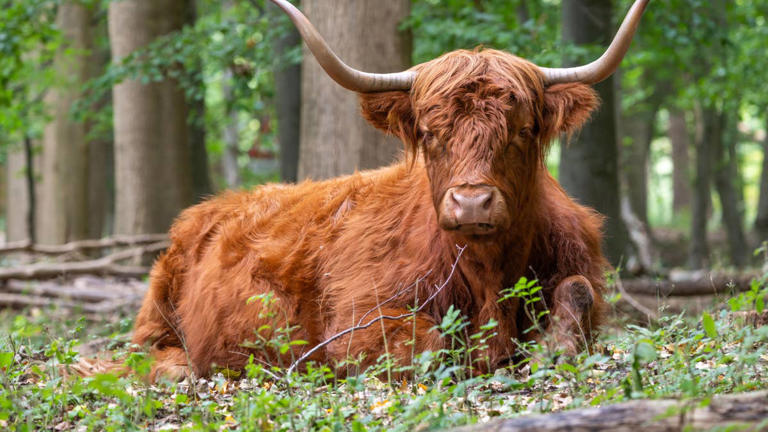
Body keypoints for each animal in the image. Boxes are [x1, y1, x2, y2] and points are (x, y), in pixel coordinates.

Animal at [127, 0, 649, 381]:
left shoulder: (578, 269)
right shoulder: (359, 317)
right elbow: (430, 344)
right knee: (145, 351)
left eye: (522, 130)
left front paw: (550, 349)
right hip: (159, 306)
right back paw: (178, 369)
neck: (488, 273)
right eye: (431, 133)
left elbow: (578, 291)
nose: (471, 203)